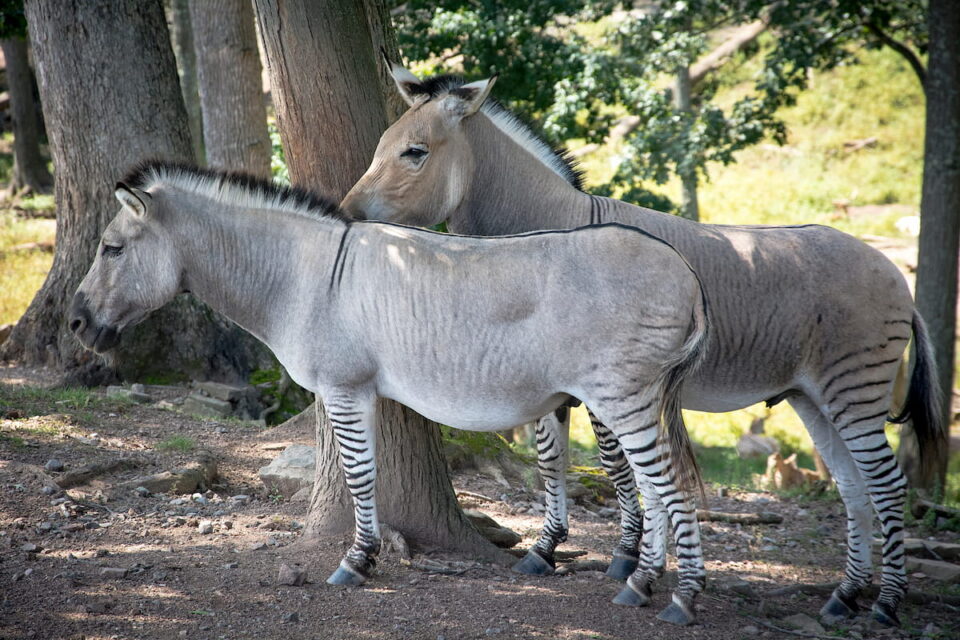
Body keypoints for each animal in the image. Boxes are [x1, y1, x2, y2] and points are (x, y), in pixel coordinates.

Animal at [70, 161, 712, 625]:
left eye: (111, 248)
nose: (75, 325)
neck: (304, 279)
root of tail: (684, 268)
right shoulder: (366, 392)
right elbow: (369, 473)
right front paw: (367, 554)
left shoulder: (344, 387)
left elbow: (359, 476)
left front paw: (356, 562)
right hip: (625, 398)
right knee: (652, 490)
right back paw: (641, 580)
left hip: (621, 396)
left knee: (669, 488)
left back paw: (682, 596)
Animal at [340, 65, 946, 627]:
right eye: (379, 147)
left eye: (414, 152)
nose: (344, 217)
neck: (547, 231)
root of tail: (896, 273)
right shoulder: (549, 379)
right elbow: (551, 458)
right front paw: (548, 549)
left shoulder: (604, 384)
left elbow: (620, 467)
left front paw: (629, 559)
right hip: (813, 397)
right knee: (854, 486)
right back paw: (845, 596)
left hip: (853, 392)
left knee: (887, 485)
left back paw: (886, 603)